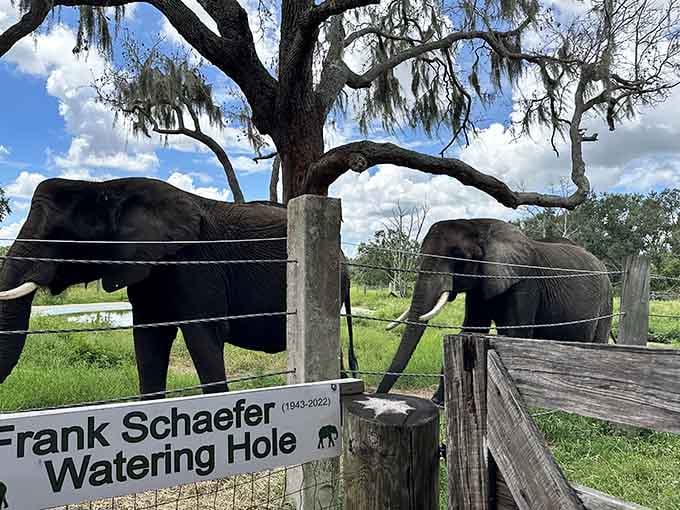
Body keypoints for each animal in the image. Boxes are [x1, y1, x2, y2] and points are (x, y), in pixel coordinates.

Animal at [0, 177, 357, 396]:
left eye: (58, 234)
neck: (107, 189)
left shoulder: (196, 264)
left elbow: (204, 336)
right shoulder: (146, 267)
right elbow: (149, 339)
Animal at [376, 218, 613, 405]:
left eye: (458, 257)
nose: (380, 396)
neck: (480, 226)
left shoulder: (526, 282)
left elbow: (516, 334)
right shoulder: (481, 281)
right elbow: (472, 329)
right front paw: (440, 401)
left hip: (606, 302)